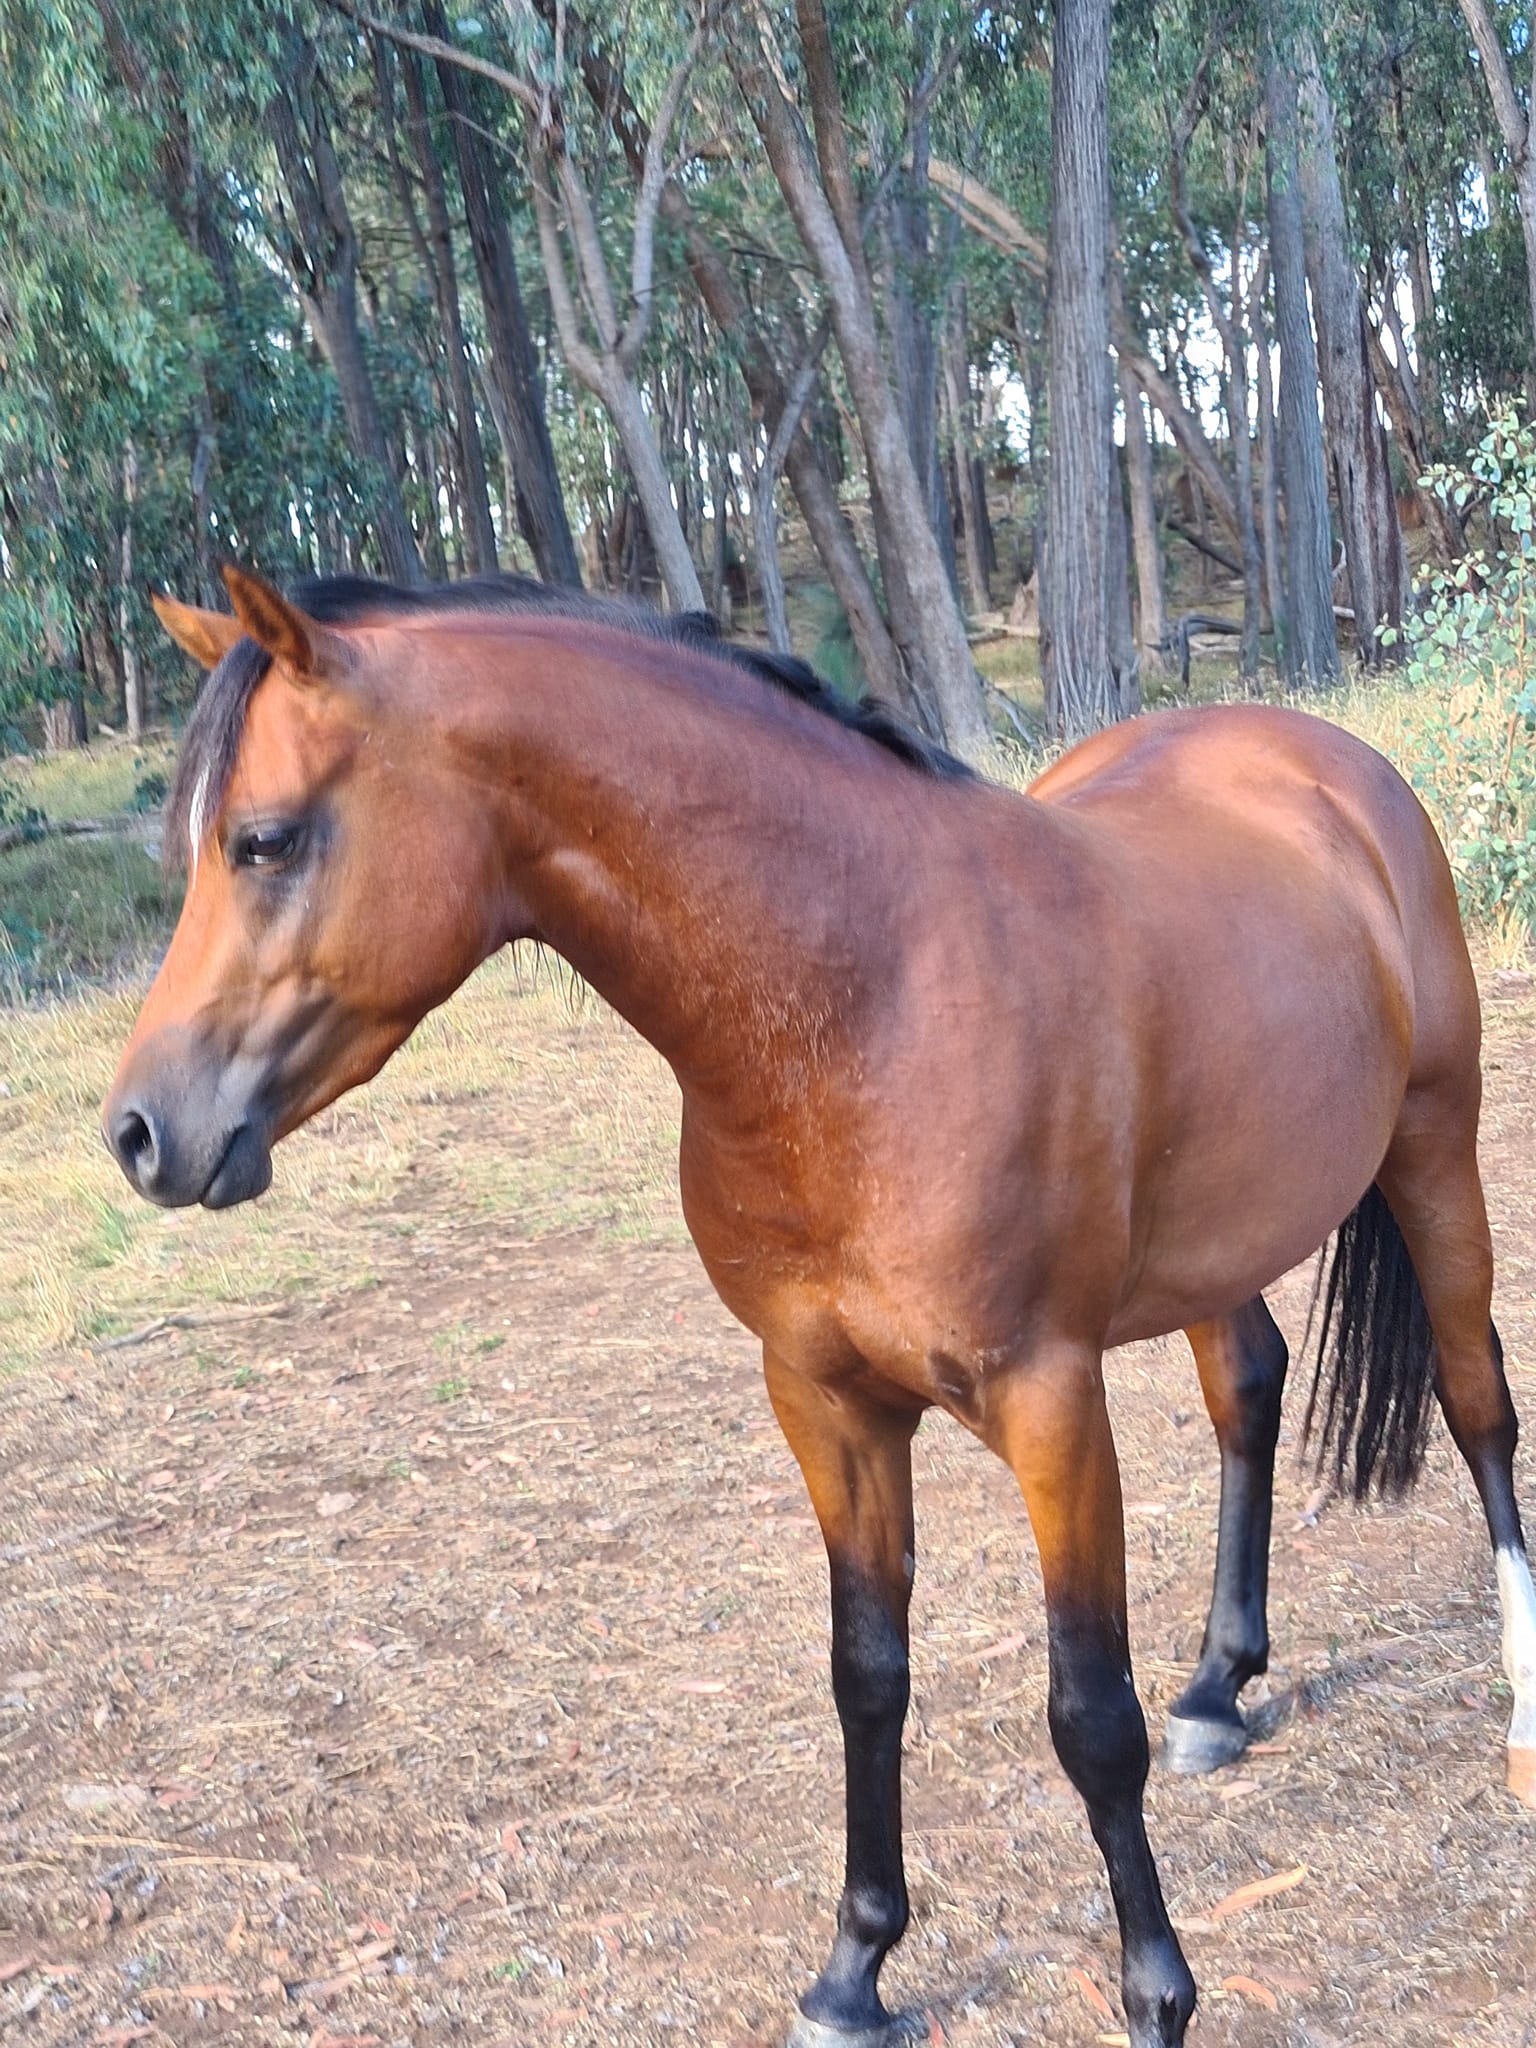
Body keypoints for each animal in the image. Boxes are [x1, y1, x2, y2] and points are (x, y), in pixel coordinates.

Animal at [103, 565, 1536, 2048]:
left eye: (264, 841)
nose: (142, 1131)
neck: (864, 999)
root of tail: (1321, 760)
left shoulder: (1048, 1400)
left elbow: (1088, 1712)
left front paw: (1155, 1992)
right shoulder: (823, 1398)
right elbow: (868, 1677)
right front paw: (856, 1967)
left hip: (1434, 1144)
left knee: (1475, 1397)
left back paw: (1515, 1718)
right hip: (1221, 1237)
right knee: (1248, 1385)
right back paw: (1219, 1685)